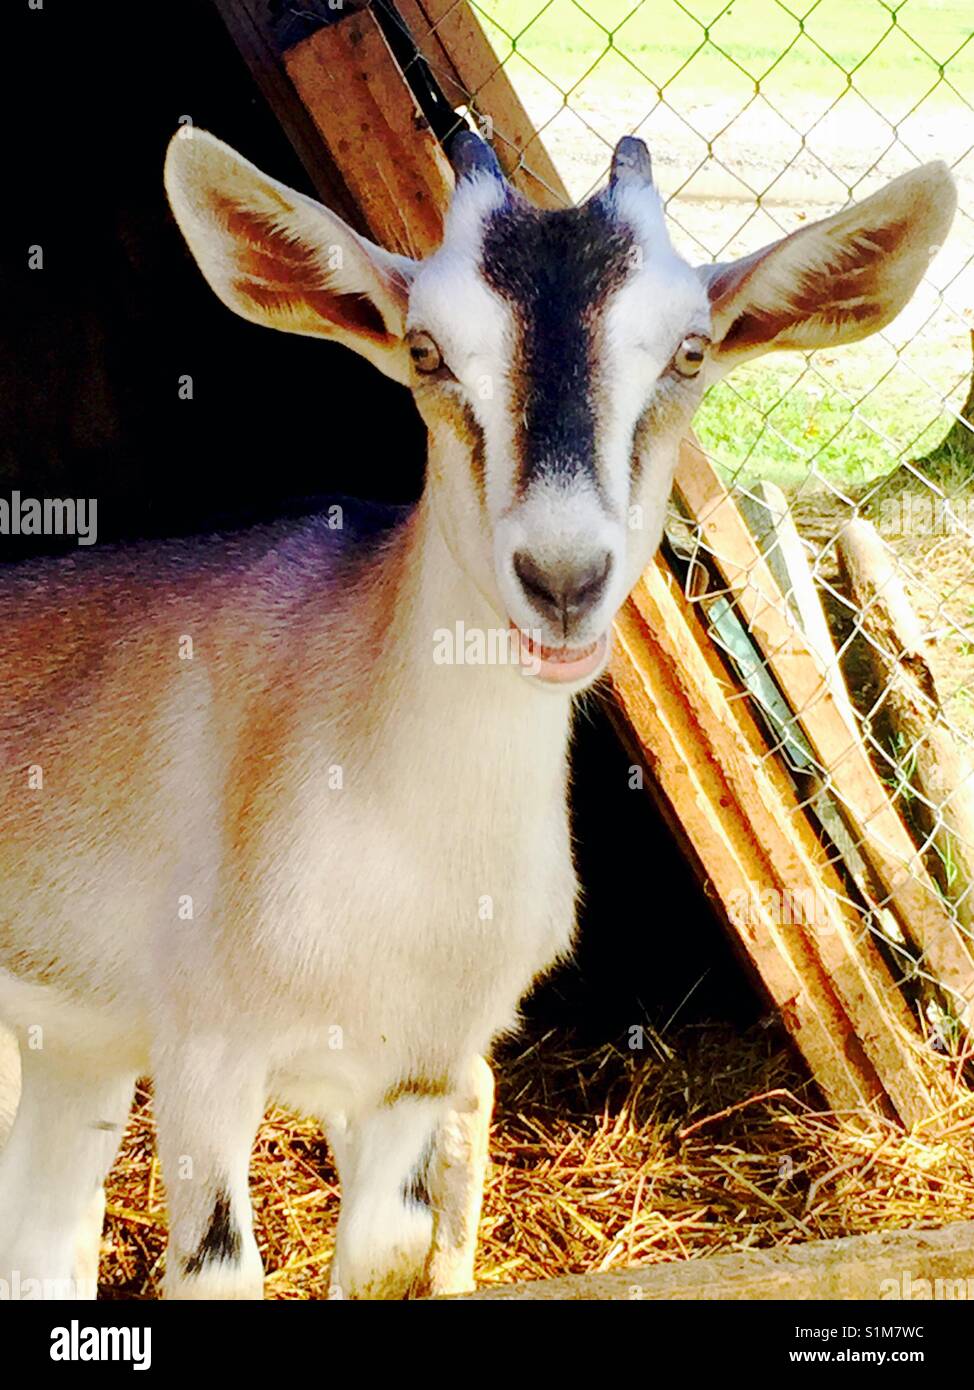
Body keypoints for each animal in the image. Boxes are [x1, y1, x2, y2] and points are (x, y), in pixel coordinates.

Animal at [0, 128, 955, 1298]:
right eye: (425, 350)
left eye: (690, 353)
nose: (562, 579)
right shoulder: (204, 1053)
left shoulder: (414, 1071)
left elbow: (391, 1259)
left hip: (76, 1049)